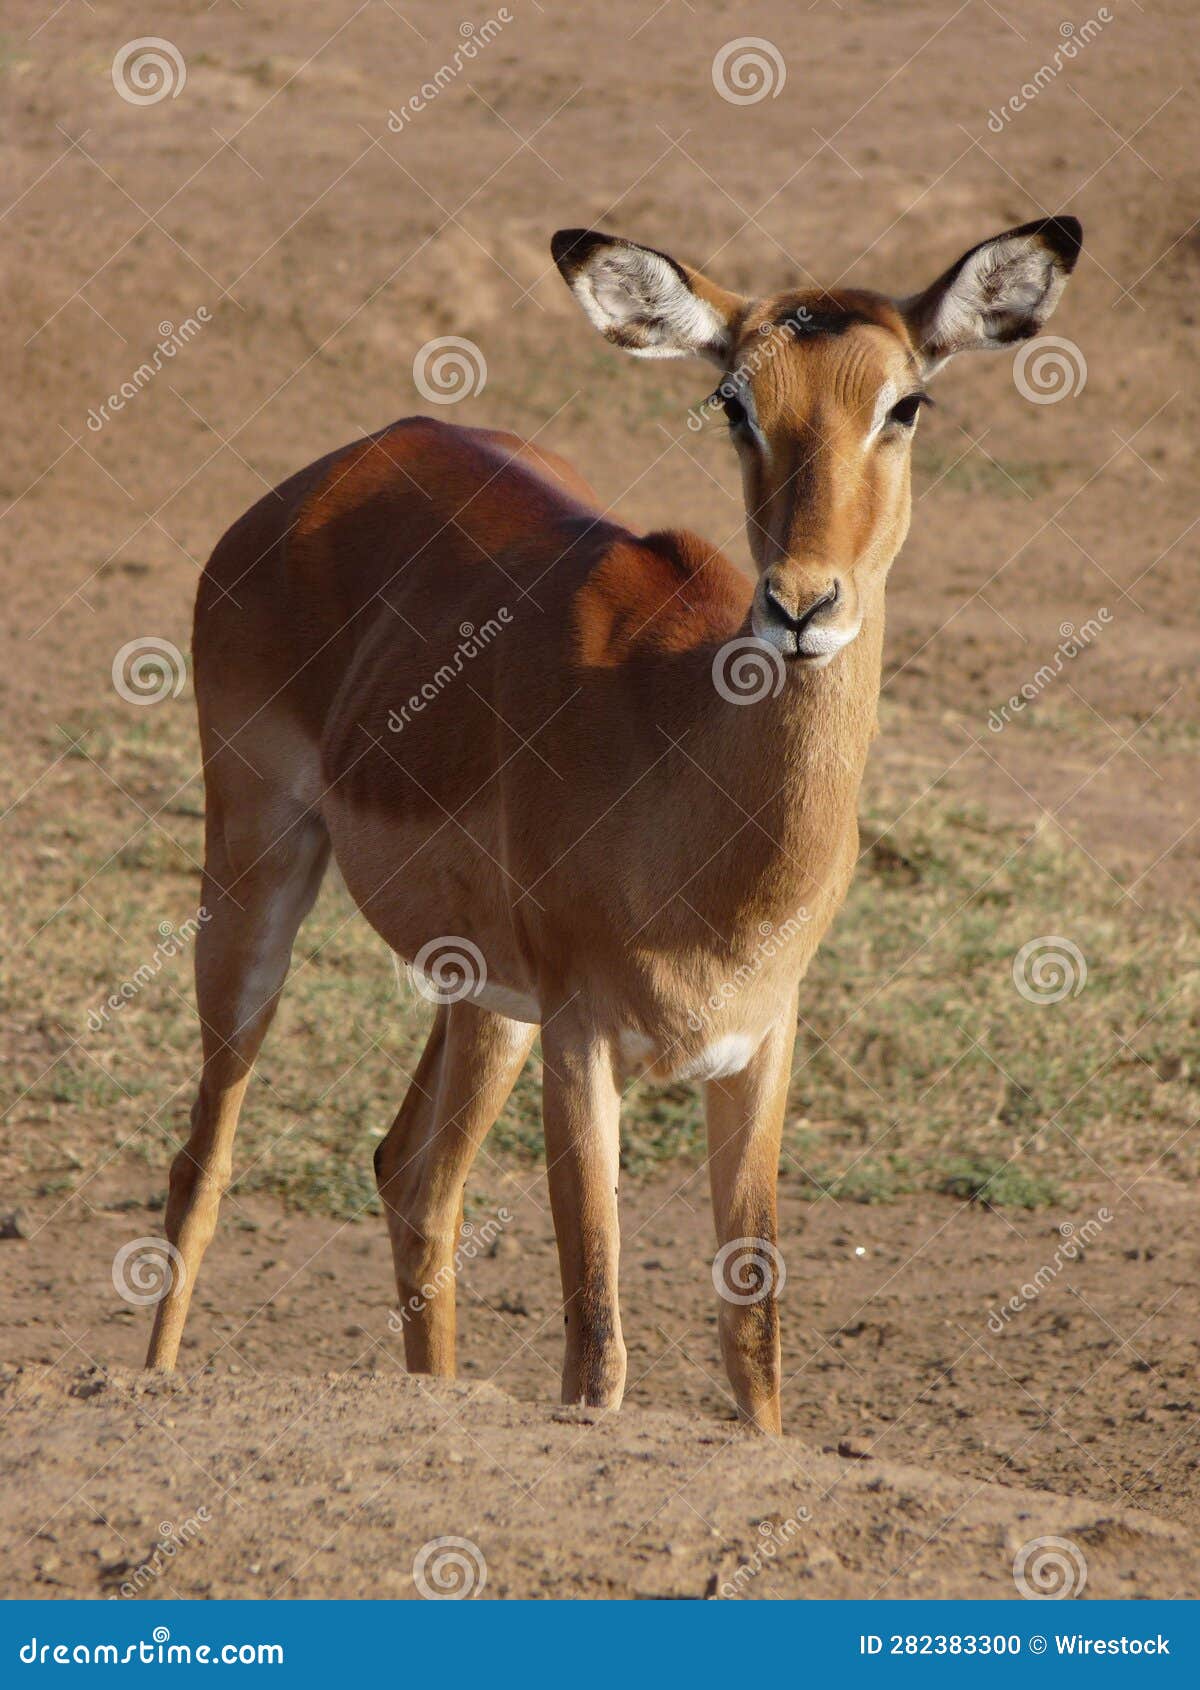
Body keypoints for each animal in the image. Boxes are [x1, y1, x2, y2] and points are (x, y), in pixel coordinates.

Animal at [146, 215, 1081, 1432]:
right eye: (733, 401)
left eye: (907, 402)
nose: (802, 605)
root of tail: (338, 468)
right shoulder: (585, 1042)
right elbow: (598, 1346)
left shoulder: (759, 1046)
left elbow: (753, 1338)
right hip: (258, 869)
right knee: (202, 1164)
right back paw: (155, 1377)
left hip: (487, 1000)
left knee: (413, 1176)